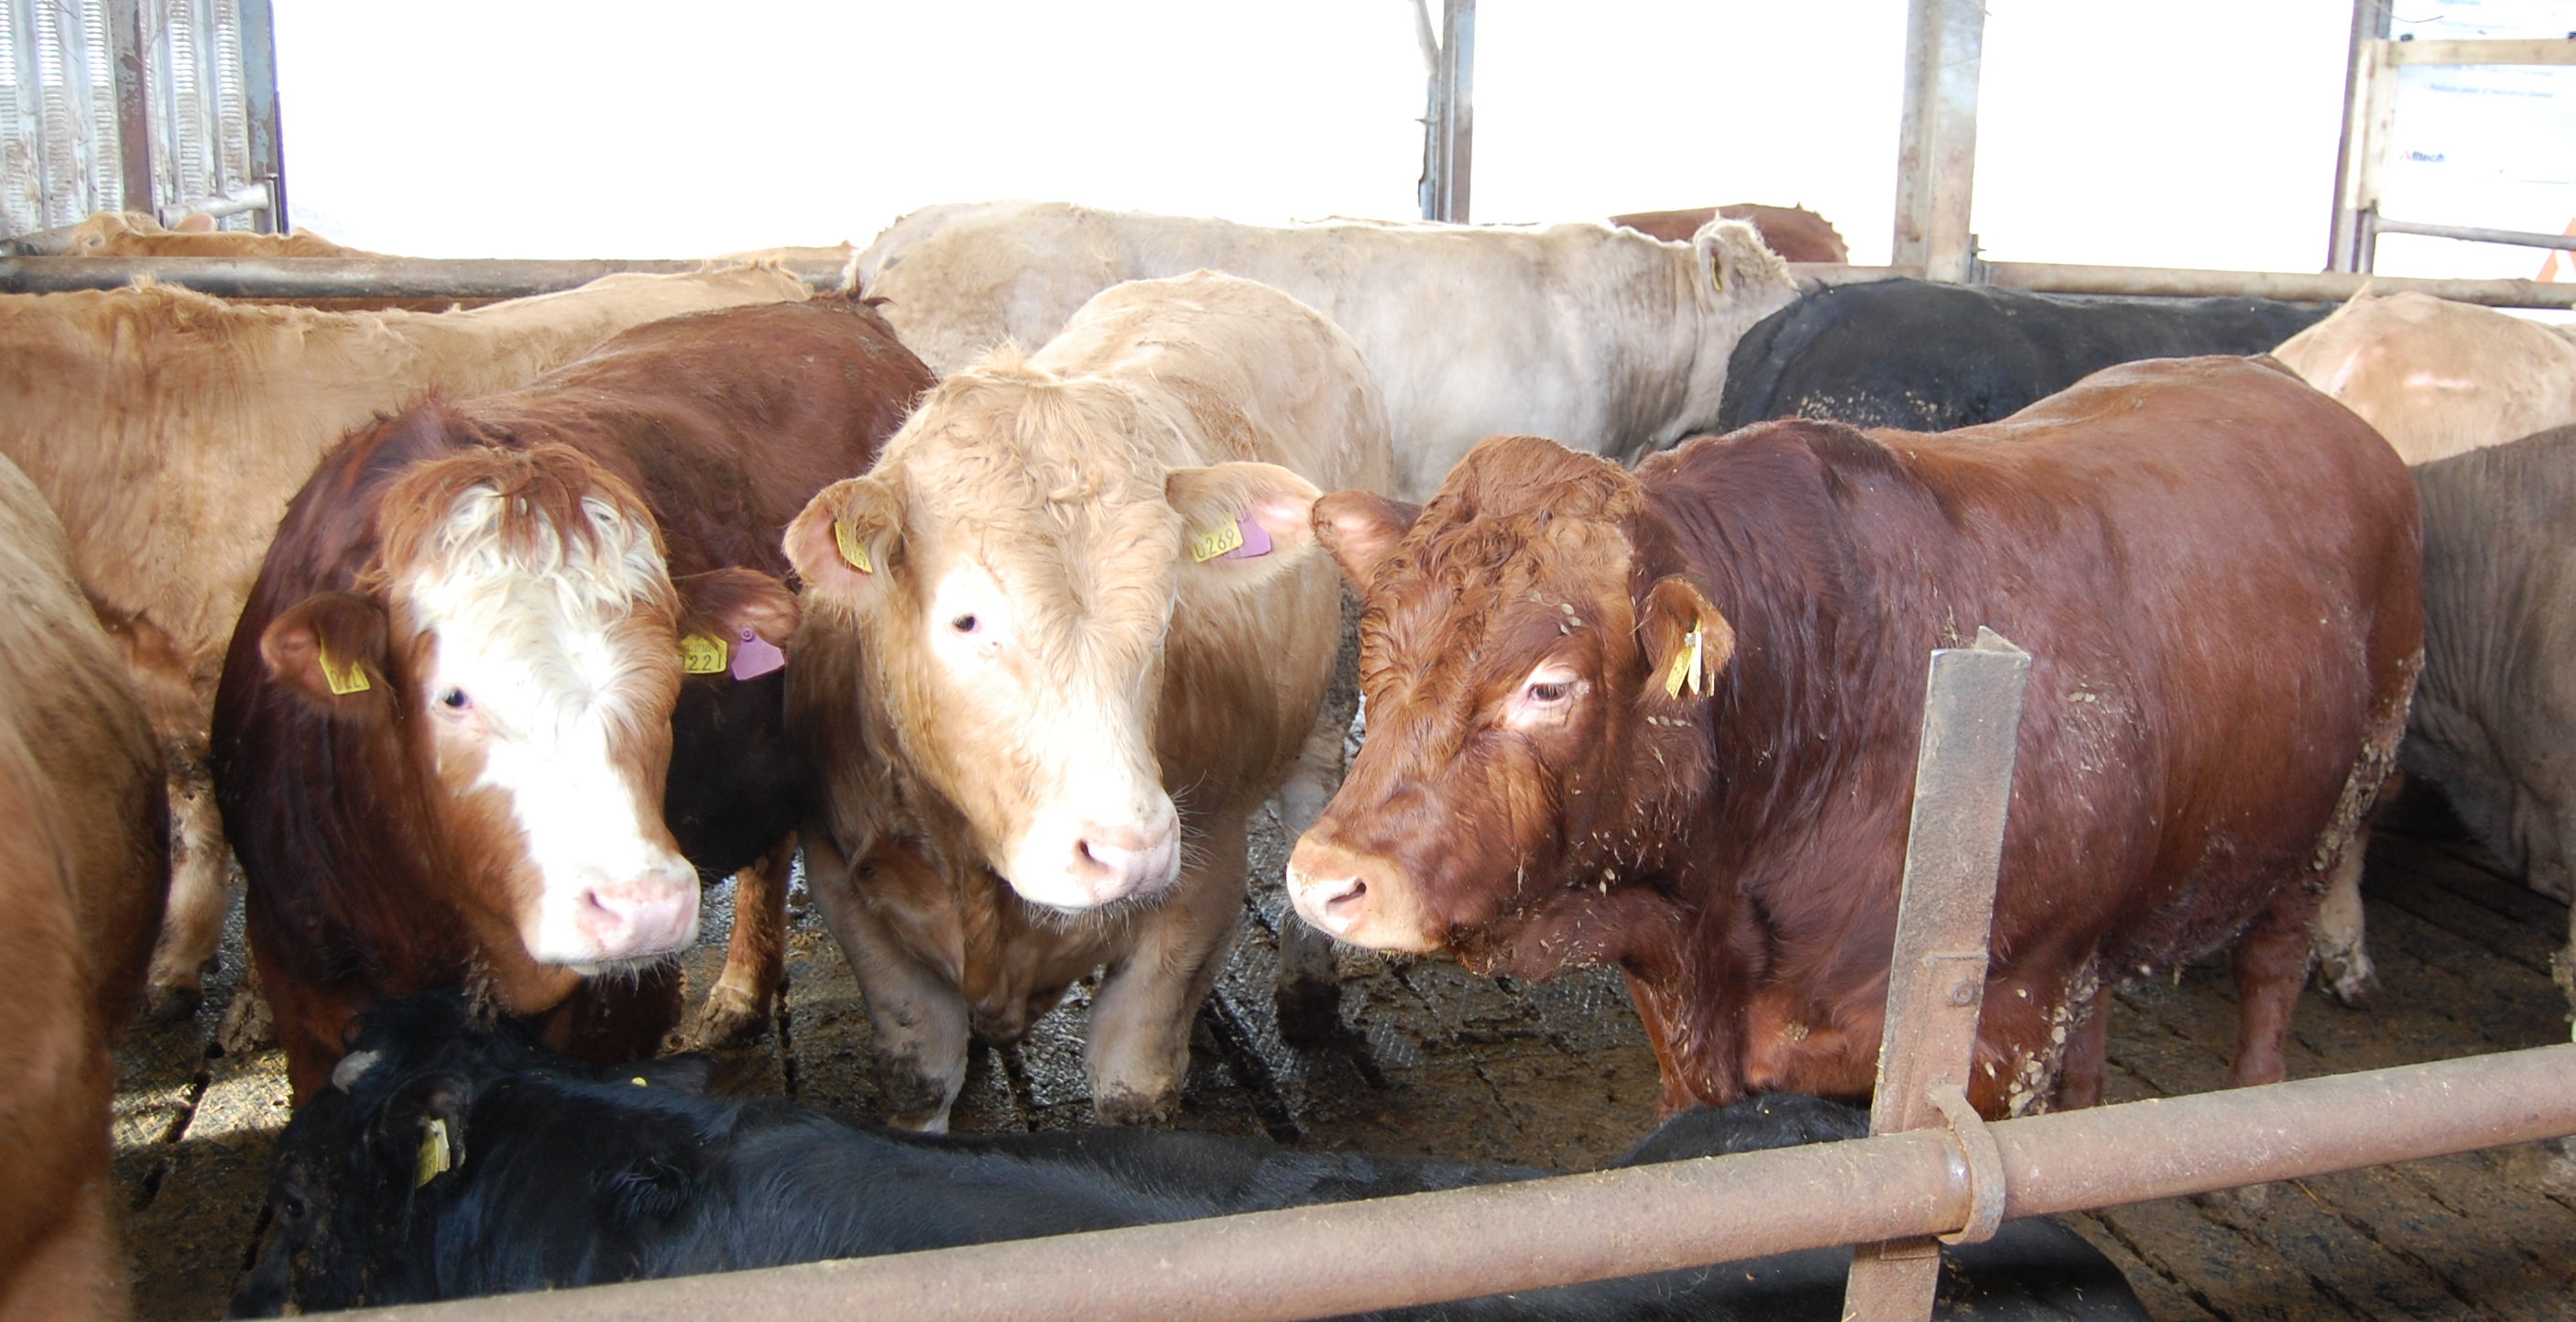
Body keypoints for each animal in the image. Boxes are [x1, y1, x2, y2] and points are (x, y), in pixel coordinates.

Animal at [209, 295, 934, 1102]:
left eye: (672, 678)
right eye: (452, 696)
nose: (642, 906)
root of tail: (838, 306)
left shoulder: (619, 1010)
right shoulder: (301, 986)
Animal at [784, 271, 1394, 1128]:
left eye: (1168, 609)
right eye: (966, 618)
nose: (1127, 849)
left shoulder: (1203, 877)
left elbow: (1133, 1079)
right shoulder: (844, 878)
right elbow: (920, 1074)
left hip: (1337, 669)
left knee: (1311, 802)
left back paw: (1307, 994)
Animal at [1287, 357, 2422, 1120]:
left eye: (1547, 686)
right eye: (1373, 654)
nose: (1324, 878)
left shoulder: (2001, 1026)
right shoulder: (1686, 1031)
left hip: (2327, 813)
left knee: (2273, 965)